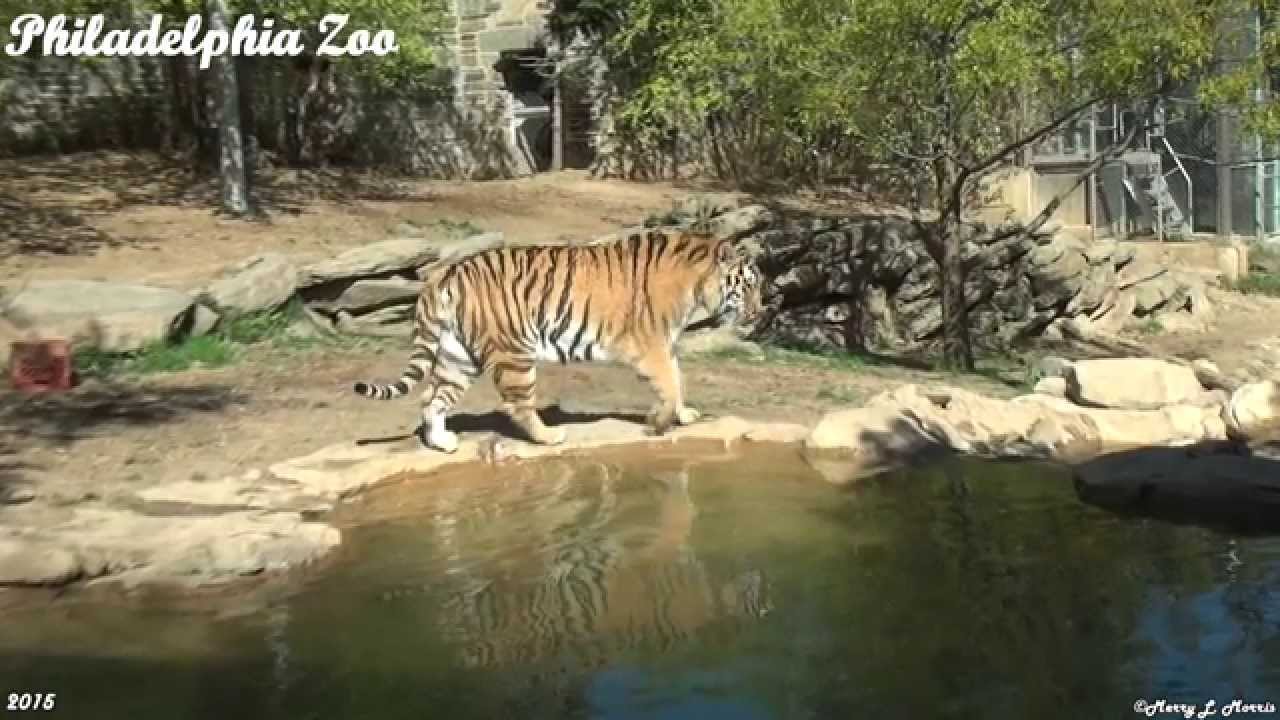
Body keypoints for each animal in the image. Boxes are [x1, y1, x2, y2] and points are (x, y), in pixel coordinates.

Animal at [352, 228, 765, 453]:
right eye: (749, 285)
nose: (759, 313)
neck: (695, 283)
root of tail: (445, 273)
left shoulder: (668, 344)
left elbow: (679, 380)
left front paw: (683, 415)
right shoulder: (650, 346)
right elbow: (670, 383)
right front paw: (657, 424)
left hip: (458, 355)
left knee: (431, 397)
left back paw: (443, 442)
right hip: (514, 352)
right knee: (515, 405)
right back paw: (550, 437)